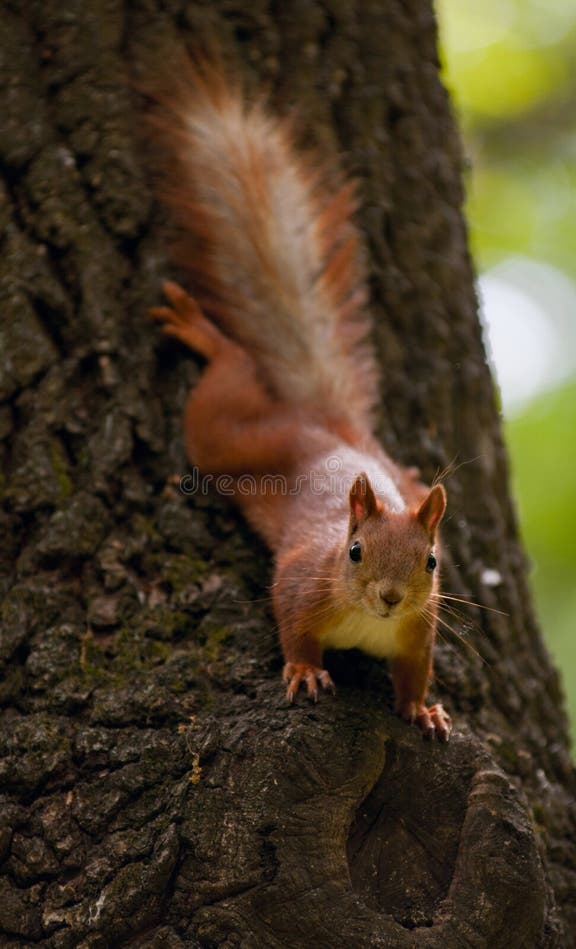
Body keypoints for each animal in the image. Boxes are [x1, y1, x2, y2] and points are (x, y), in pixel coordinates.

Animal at [148, 59, 452, 741]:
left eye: (431, 562)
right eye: (355, 551)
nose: (390, 598)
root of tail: (324, 421)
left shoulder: (420, 635)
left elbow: (414, 676)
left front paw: (423, 709)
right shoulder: (301, 583)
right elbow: (291, 628)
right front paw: (307, 672)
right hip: (227, 436)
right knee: (226, 381)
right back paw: (204, 335)